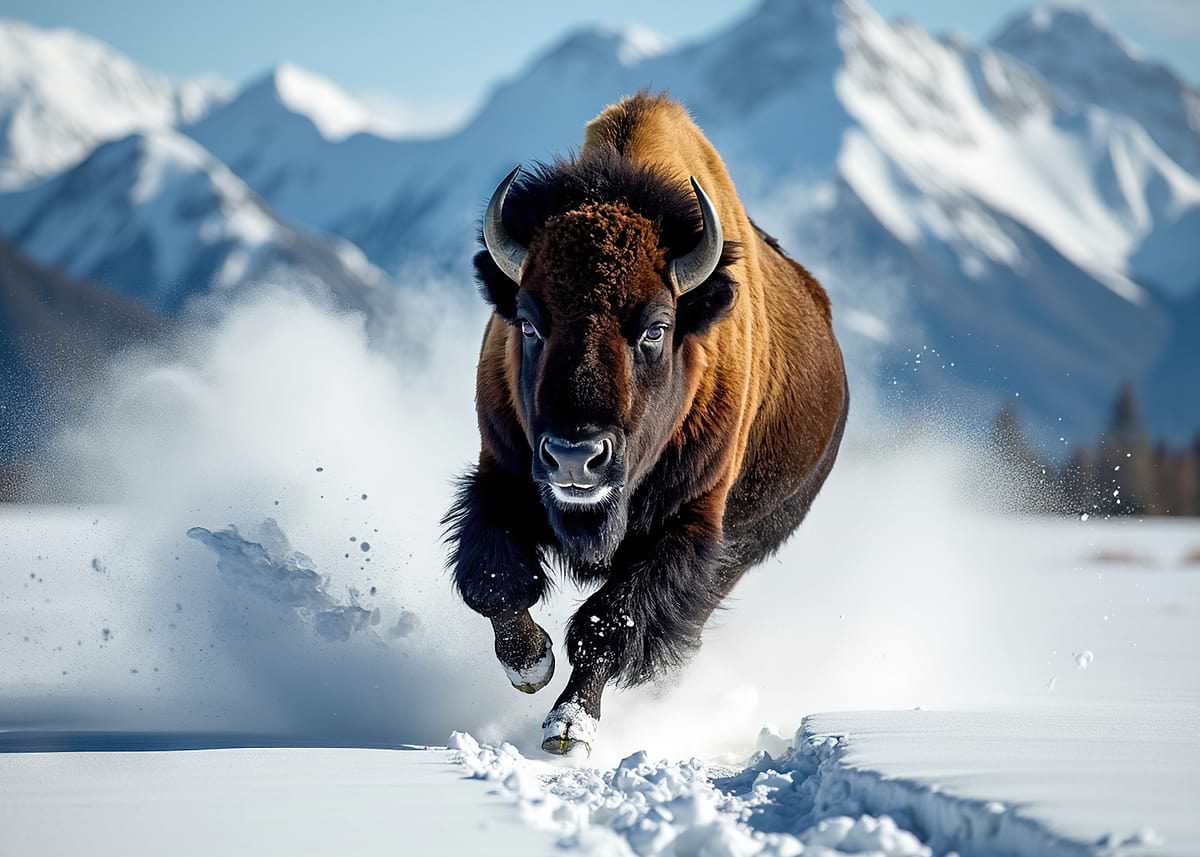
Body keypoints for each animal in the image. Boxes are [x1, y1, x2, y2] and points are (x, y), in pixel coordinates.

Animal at [445, 93, 847, 756]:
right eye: (527, 322)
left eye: (655, 327)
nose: (575, 457)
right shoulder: (500, 476)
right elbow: (495, 578)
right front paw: (531, 664)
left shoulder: (687, 525)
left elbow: (610, 622)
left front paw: (567, 730)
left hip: (744, 544)